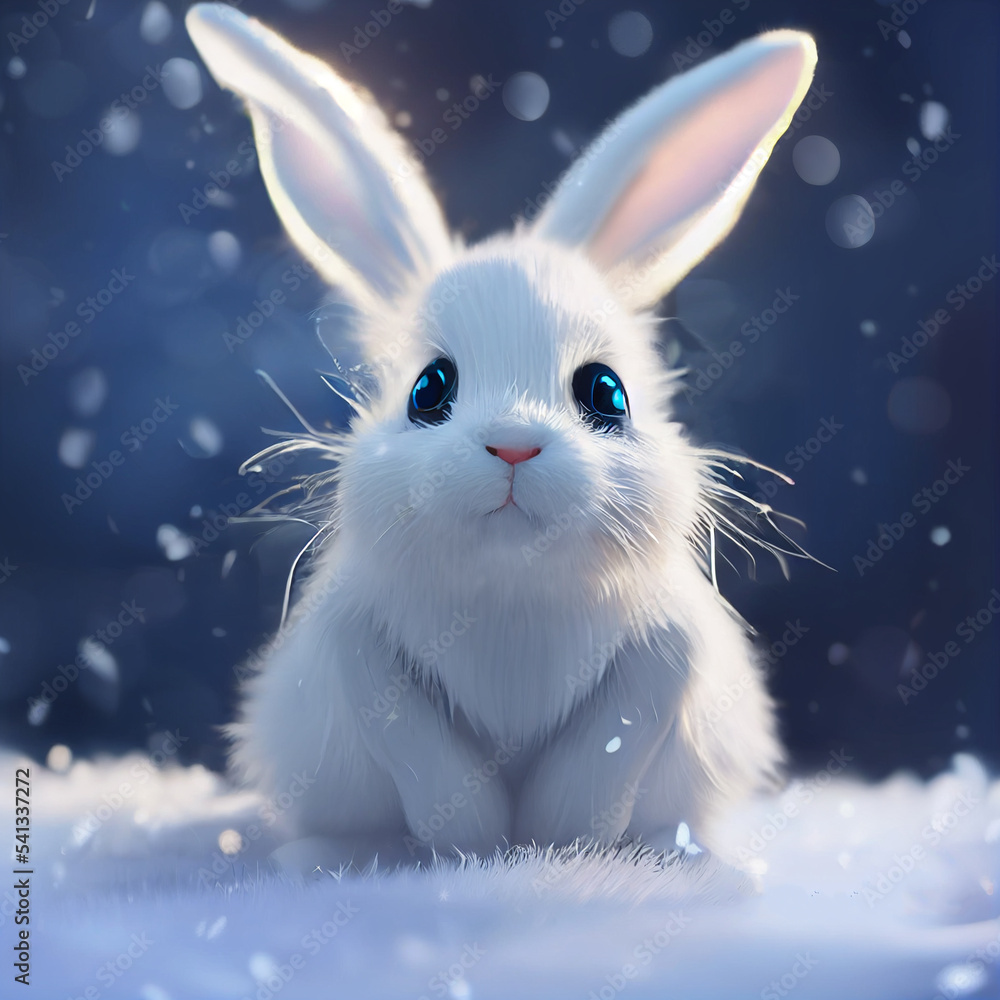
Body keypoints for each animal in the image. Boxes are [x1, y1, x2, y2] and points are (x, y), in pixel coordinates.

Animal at [185, 3, 817, 865]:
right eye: (428, 389)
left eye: (606, 392)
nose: (514, 443)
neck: (512, 586)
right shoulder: (355, 647)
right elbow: (417, 744)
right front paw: (474, 840)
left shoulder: (669, 649)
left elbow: (614, 740)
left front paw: (561, 838)